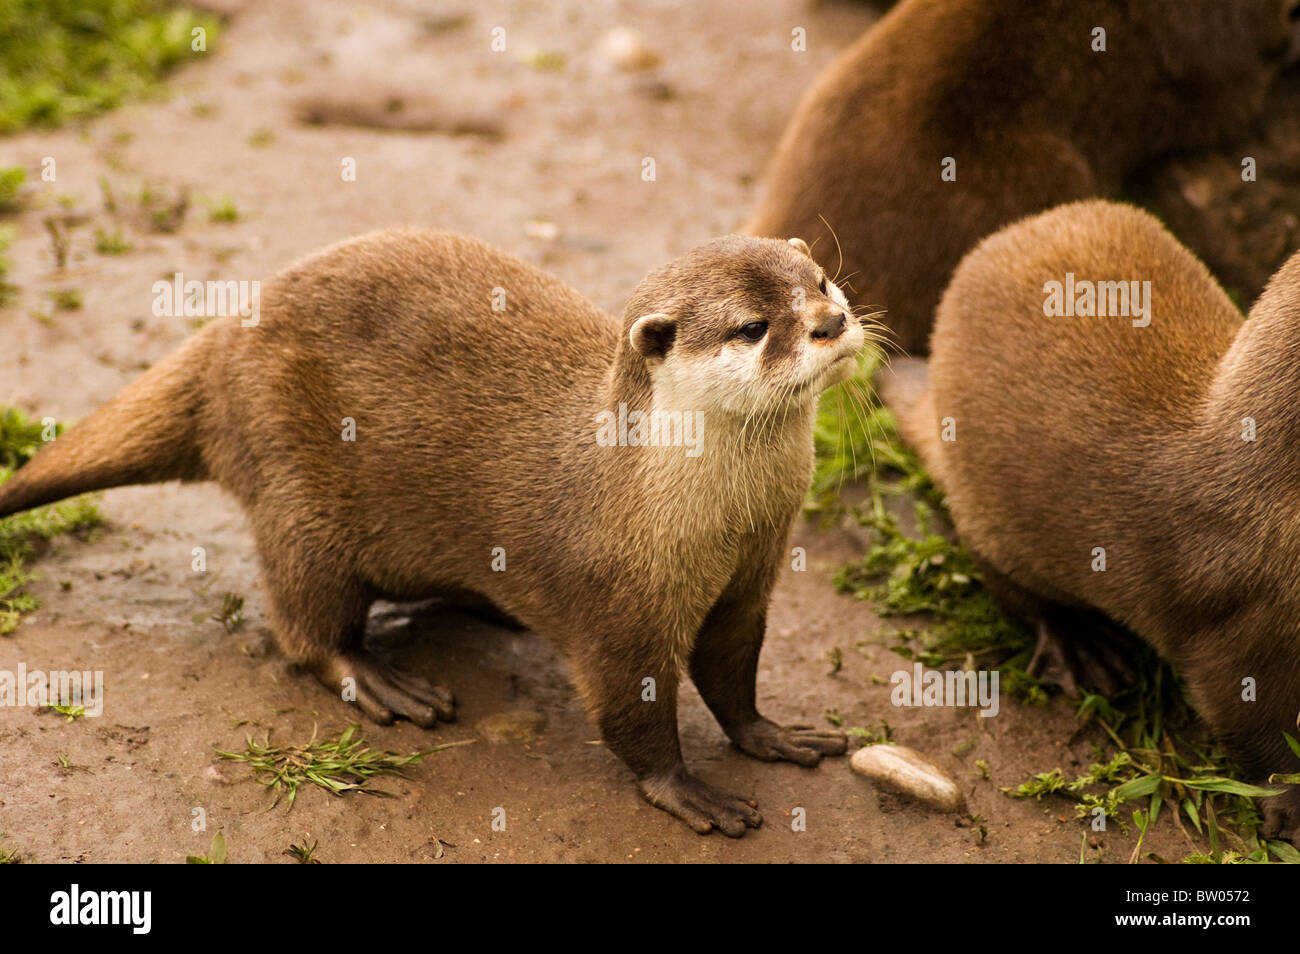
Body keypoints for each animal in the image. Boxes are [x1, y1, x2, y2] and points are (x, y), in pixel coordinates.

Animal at [0, 230, 870, 836]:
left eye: (823, 282)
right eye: (753, 326)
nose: (832, 321)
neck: (696, 516)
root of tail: (220, 341)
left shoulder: (750, 579)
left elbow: (733, 673)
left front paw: (773, 735)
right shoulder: (616, 611)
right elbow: (633, 714)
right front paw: (688, 791)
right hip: (295, 497)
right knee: (302, 625)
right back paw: (382, 680)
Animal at [885, 200, 1300, 842]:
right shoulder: (1238, 618)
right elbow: (1254, 725)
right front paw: (1292, 806)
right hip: (987, 515)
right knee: (1012, 588)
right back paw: (1080, 647)